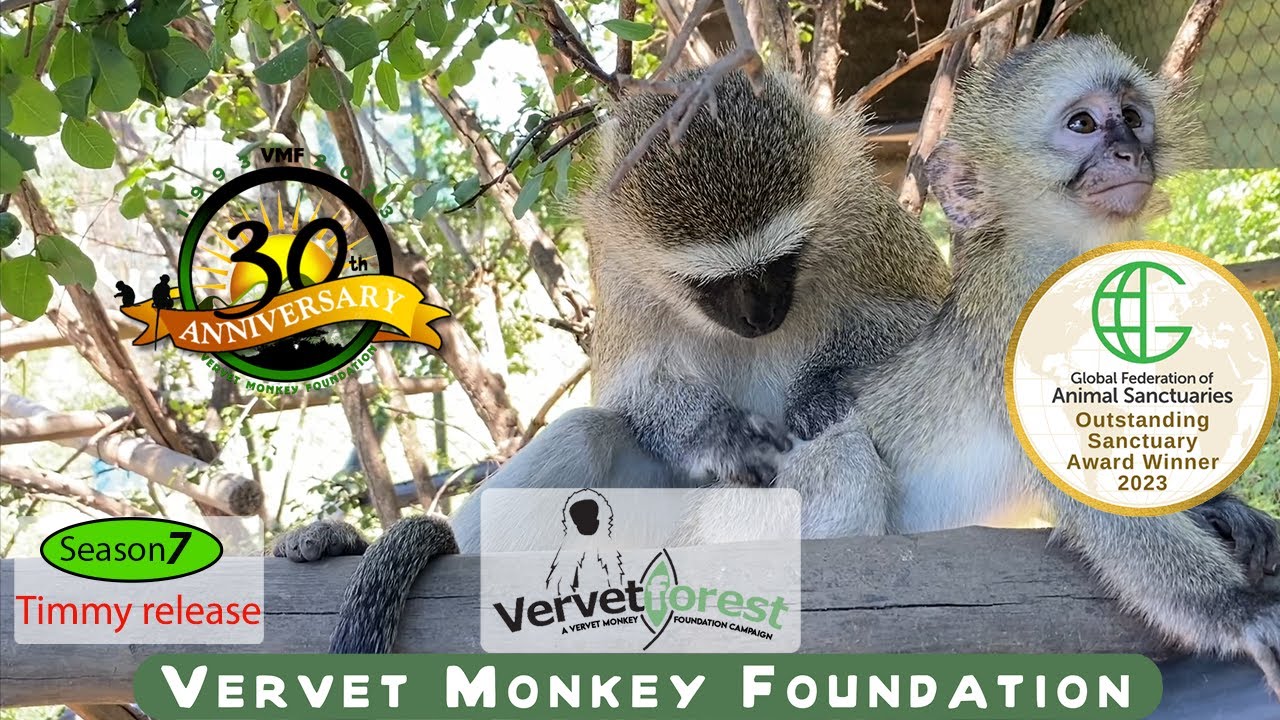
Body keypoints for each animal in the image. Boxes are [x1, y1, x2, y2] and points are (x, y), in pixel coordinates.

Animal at [675, 35, 1280, 692]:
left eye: (1134, 117)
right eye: (1083, 124)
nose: (1130, 152)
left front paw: (1224, 511)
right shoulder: (1021, 321)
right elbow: (1084, 487)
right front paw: (1235, 608)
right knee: (841, 453)